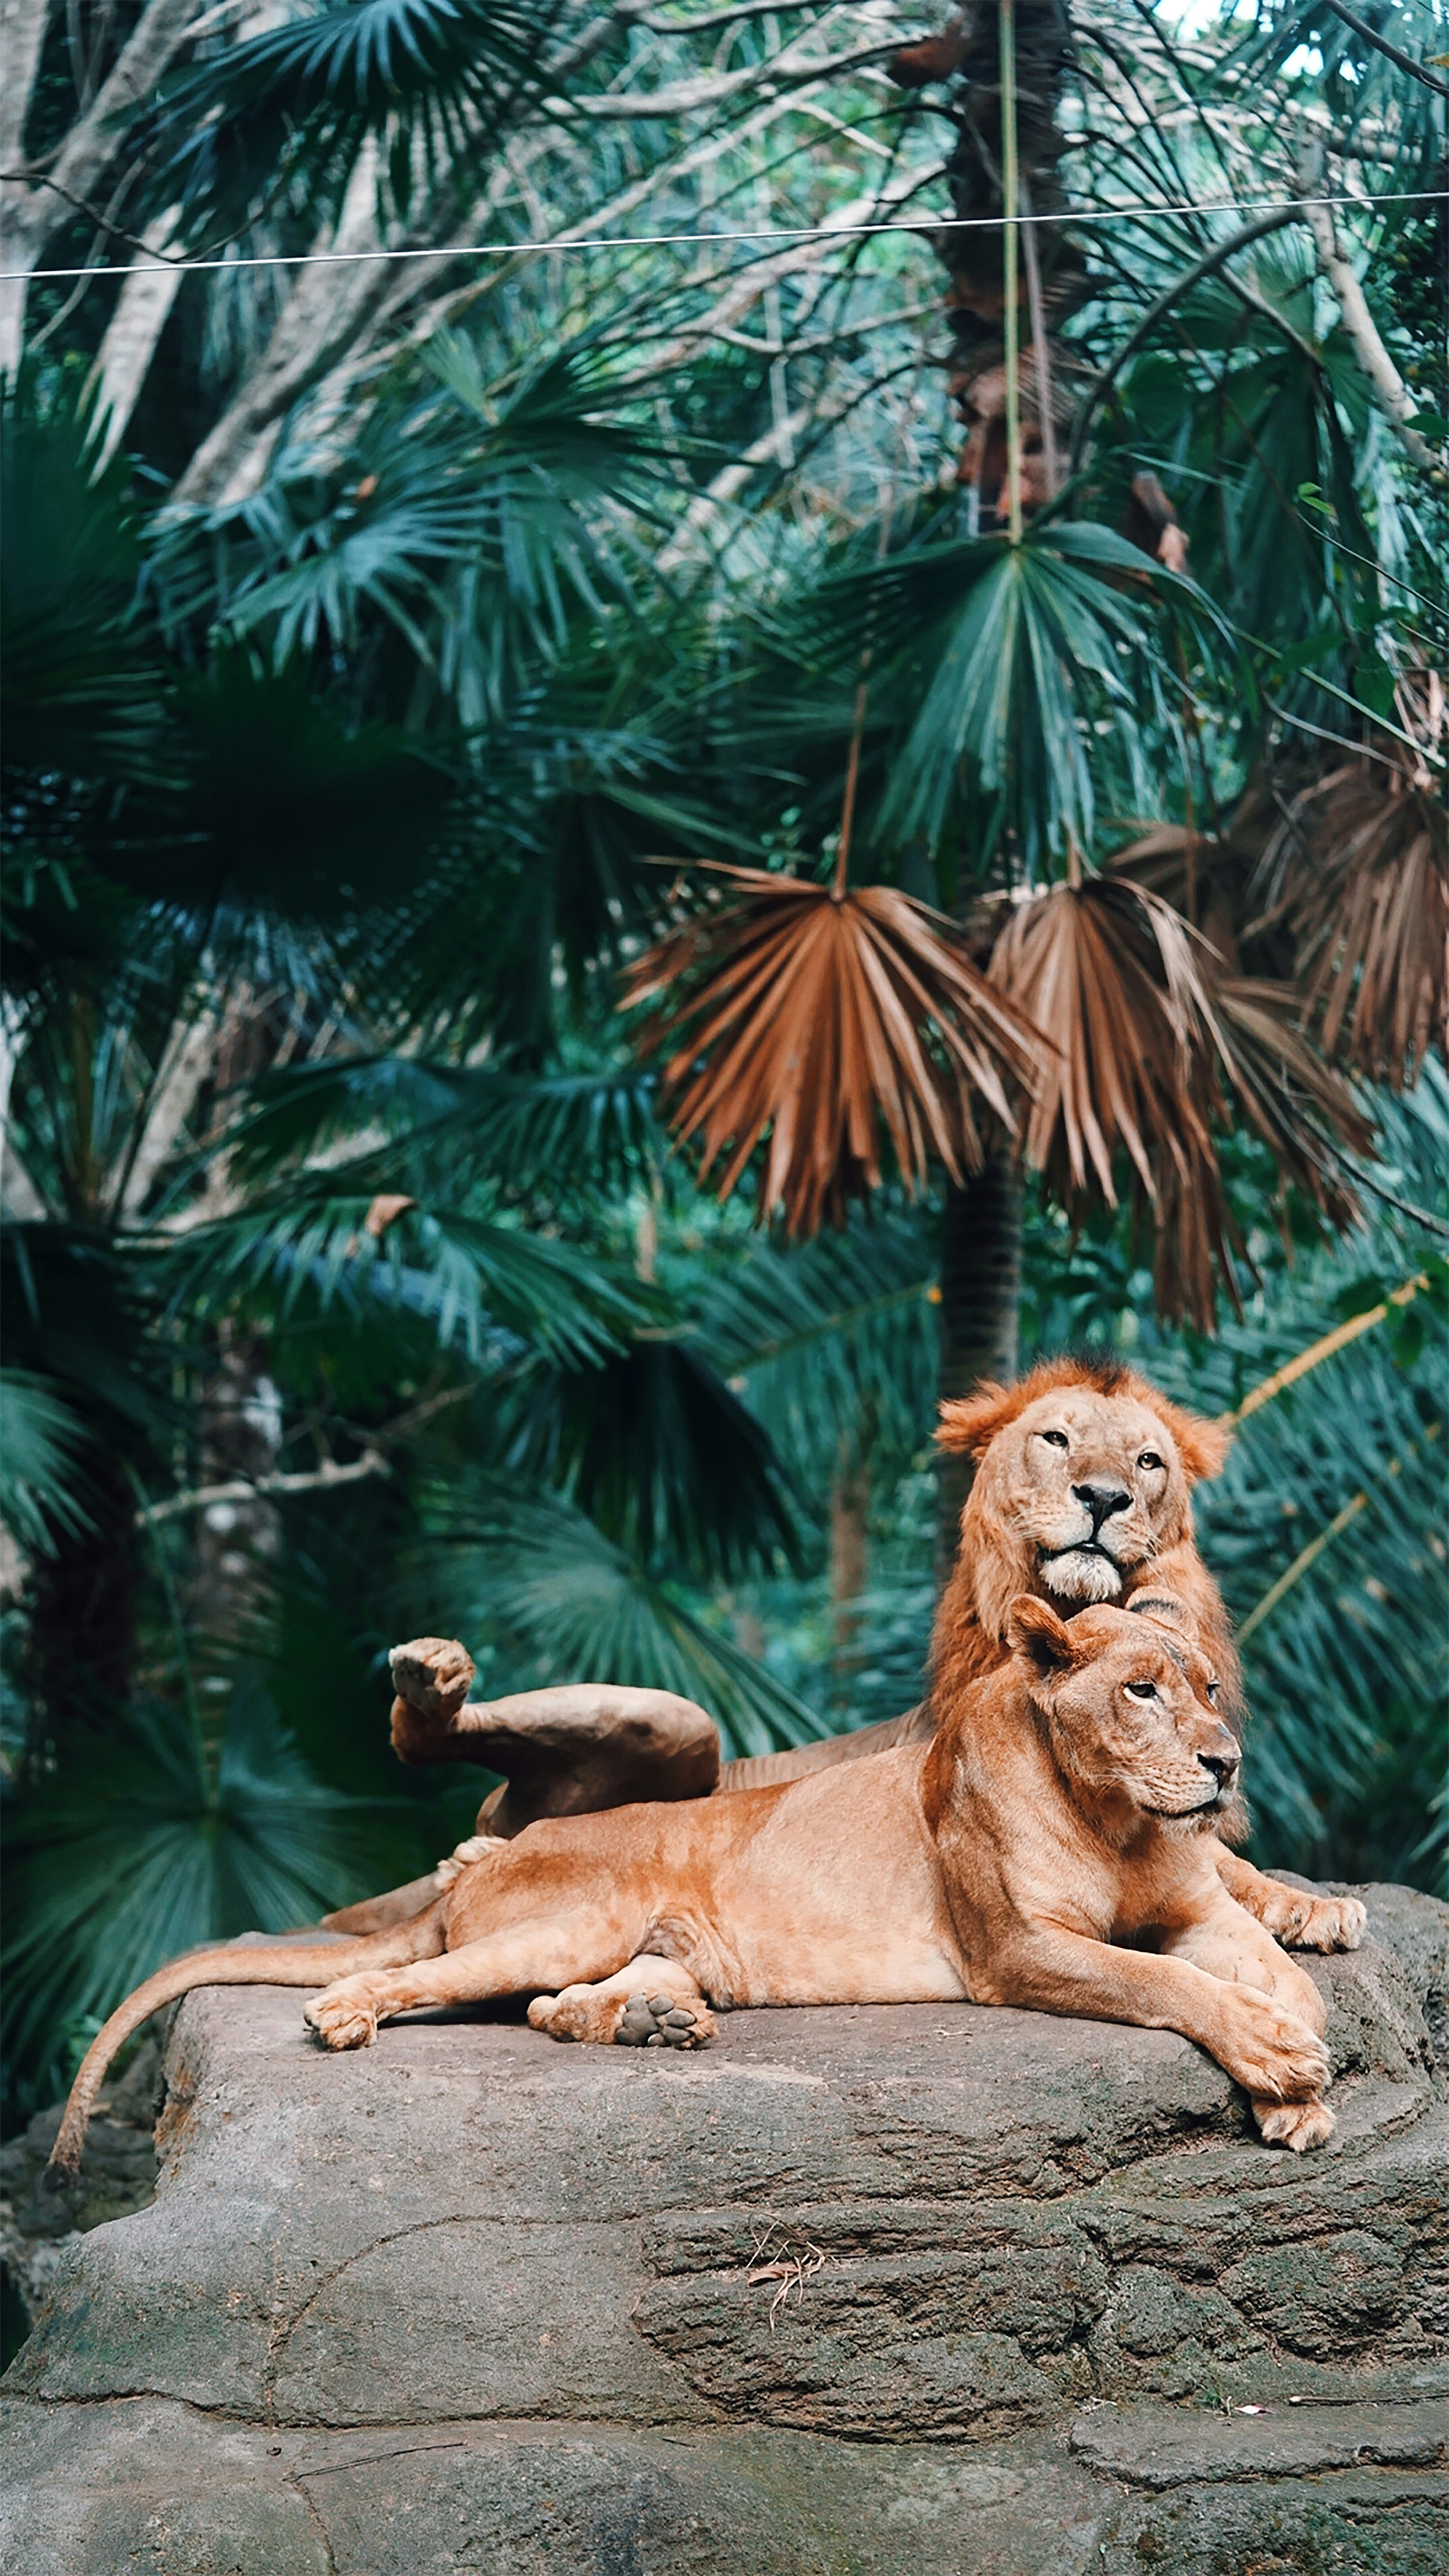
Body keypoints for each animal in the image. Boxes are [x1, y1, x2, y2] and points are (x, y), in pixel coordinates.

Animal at [49, 1598, 1335, 2181]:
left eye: (1207, 1686)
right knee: (439, 1978)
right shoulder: (1016, 1949)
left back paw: (652, 2021)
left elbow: (1280, 1979)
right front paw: (1279, 2064)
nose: (1225, 1762)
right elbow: (1163, 1983)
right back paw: (345, 2012)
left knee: (544, 2005)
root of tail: (495, 1855)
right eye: (1138, 1690)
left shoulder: (1202, 1912)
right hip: (574, 1910)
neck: (1114, 1818)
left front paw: (1294, 2087)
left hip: (649, 1944)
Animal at [329, 1357, 1364, 1960]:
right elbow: (1207, 1854)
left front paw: (1304, 1904)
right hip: (682, 1722)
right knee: (432, 1745)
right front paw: (1300, 1904)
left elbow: (1221, 1854)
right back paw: (432, 1680)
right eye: (1056, 1437)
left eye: (1147, 1461)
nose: (1103, 1495)